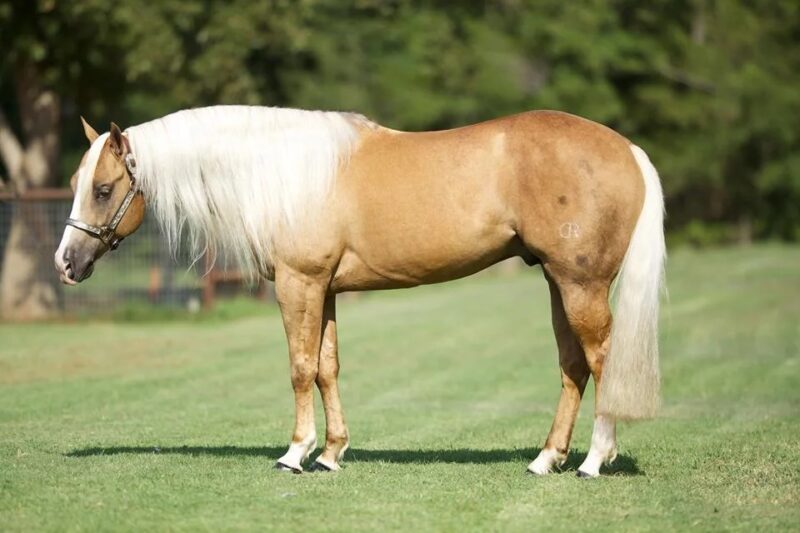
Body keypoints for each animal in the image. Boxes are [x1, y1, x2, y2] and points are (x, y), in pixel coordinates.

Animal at [55, 106, 665, 477]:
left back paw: (592, 461)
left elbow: (300, 367)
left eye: (104, 189)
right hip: (558, 282)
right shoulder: (323, 288)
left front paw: (295, 453)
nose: (66, 263)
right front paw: (331, 453)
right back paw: (546, 459)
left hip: (580, 285)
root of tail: (627, 148)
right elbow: (327, 367)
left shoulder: (299, 283)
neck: (282, 173)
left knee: (602, 361)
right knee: (573, 367)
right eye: (77, 184)